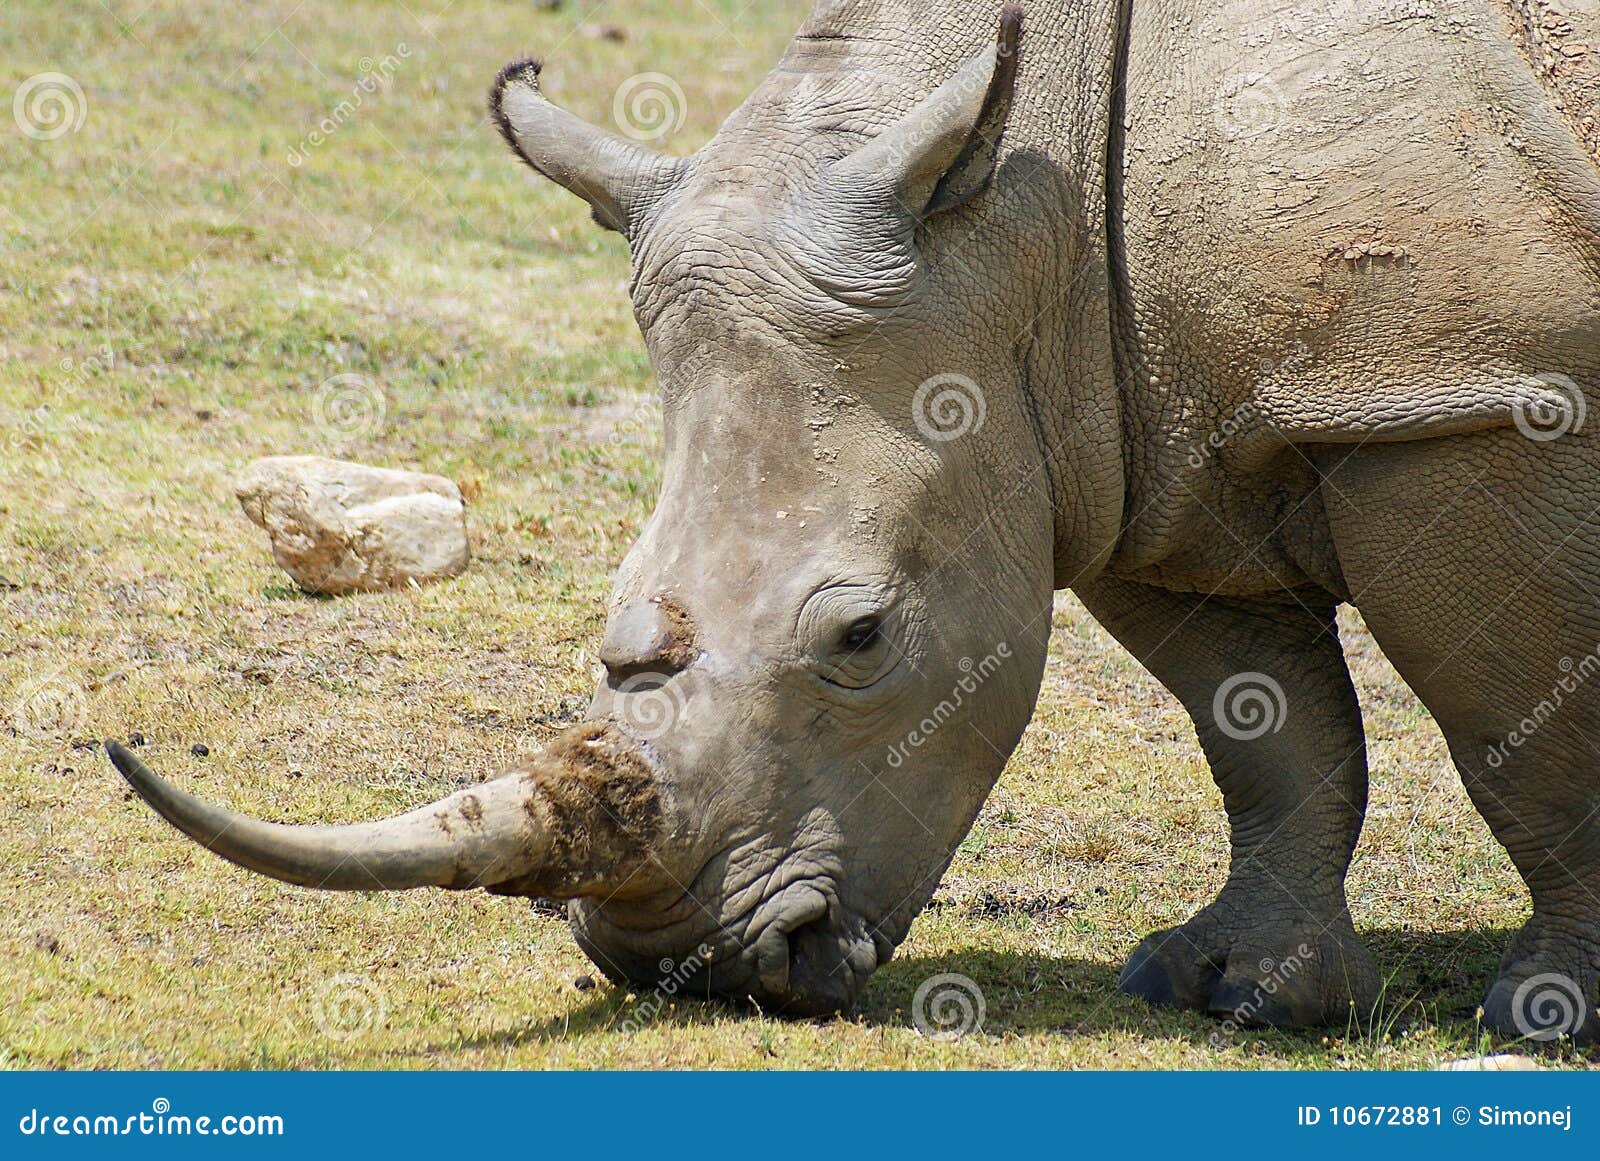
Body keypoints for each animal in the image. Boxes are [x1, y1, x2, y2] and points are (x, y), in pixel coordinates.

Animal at [110, 0, 1600, 1040]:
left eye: (864, 636)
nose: (691, 967)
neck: (1022, 236)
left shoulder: (1465, 402)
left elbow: (1524, 732)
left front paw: (1547, 1013)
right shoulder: (1120, 440)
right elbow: (1271, 731)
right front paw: (1235, 991)